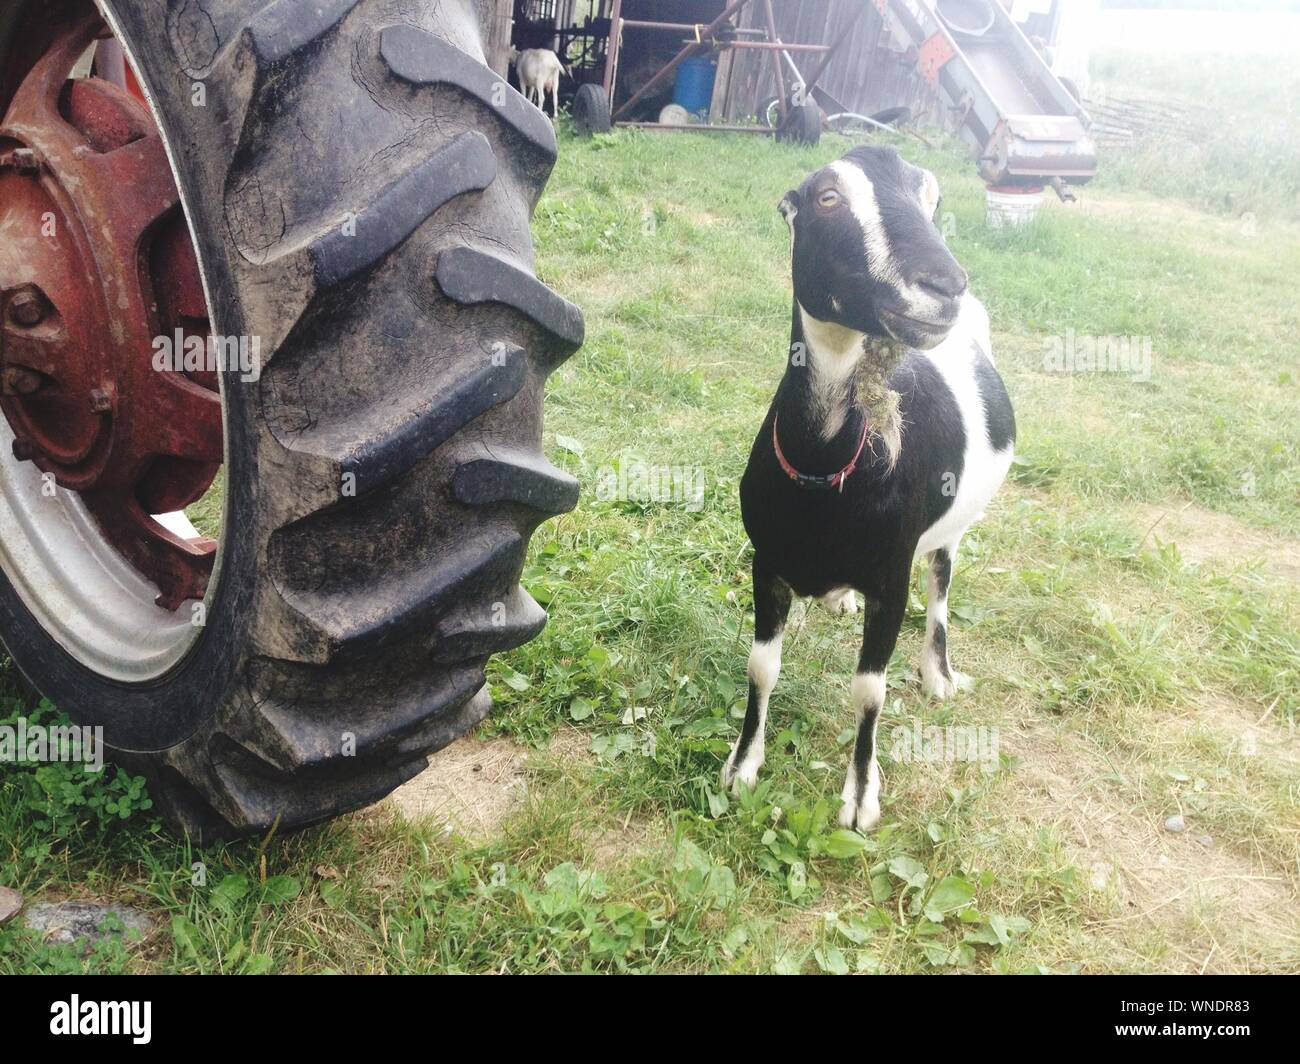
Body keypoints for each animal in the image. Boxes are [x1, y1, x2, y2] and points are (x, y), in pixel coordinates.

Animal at [728, 145, 1016, 832]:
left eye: (933, 199)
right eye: (827, 197)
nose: (945, 286)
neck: (823, 469)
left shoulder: (890, 576)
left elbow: (868, 690)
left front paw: (860, 798)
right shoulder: (767, 561)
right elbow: (761, 665)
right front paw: (742, 767)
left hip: (948, 530)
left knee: (941, 580)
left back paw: (938, 673)